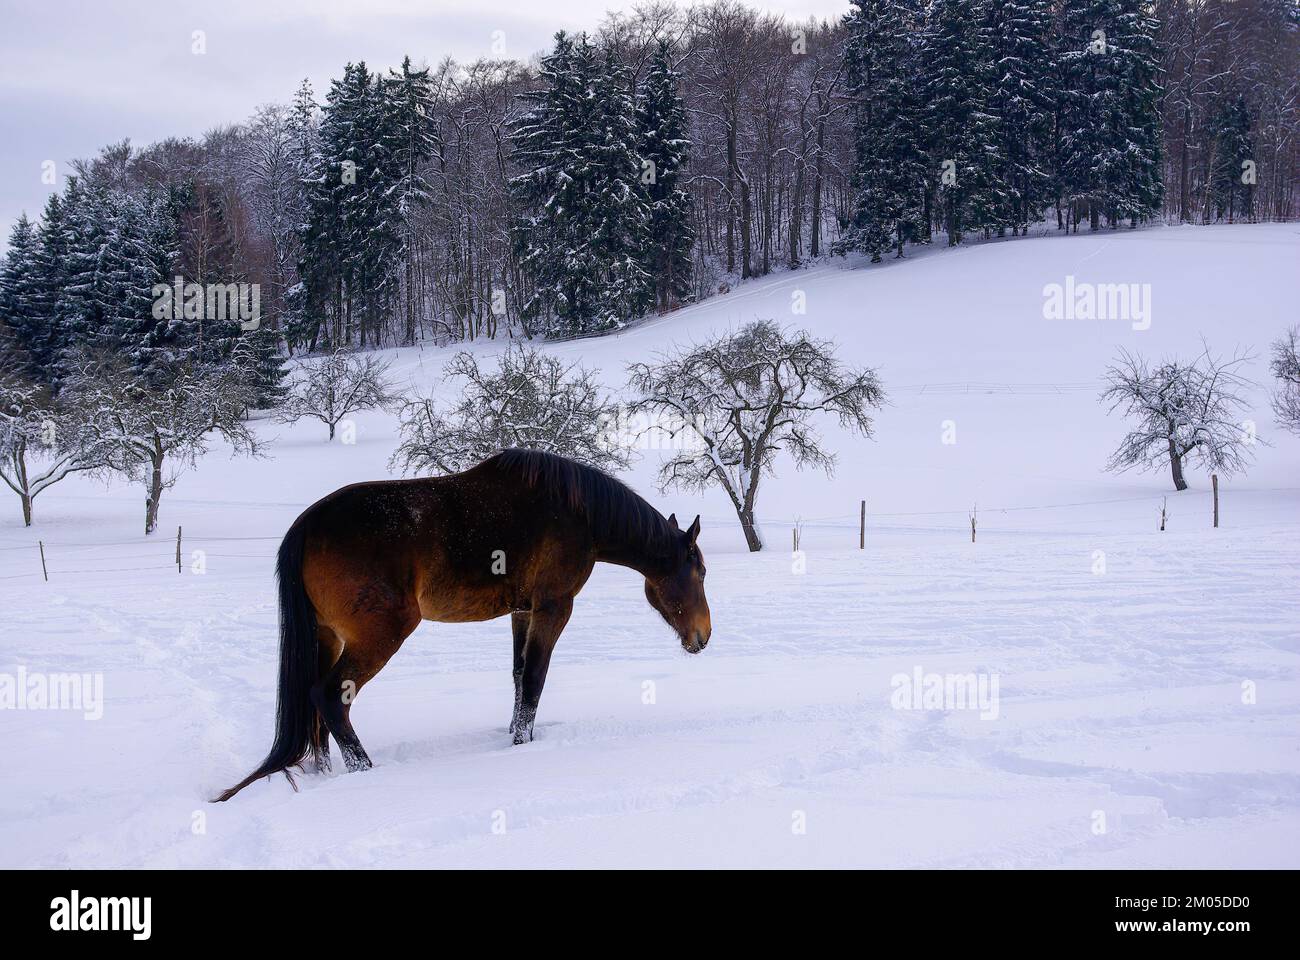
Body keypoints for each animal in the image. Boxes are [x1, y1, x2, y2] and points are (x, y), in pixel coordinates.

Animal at [216, 448, 711, 801]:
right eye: (701, 572)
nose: (703, 636)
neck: (579, 515)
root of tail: (307, 526)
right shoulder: (553, 608)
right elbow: (535, 679)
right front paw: (521, 745)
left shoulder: (522, 611)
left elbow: (518, 678)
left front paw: (516, 735)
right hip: (379, 635)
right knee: (329, 697)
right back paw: (365, 772)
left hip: (329, 638)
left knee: (315, 708)